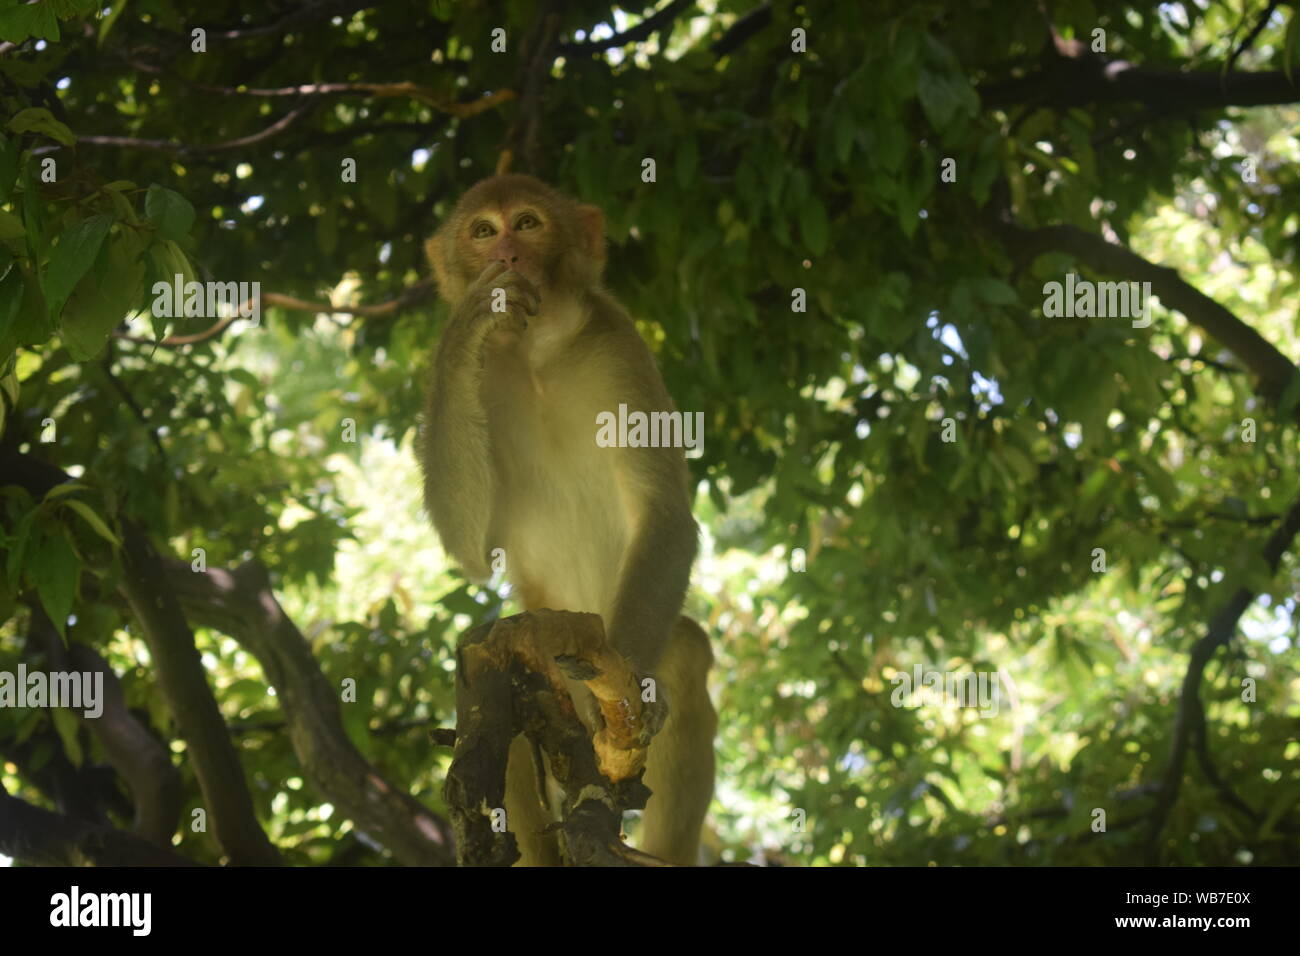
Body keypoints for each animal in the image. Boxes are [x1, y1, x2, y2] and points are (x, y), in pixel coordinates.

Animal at [419, 174, 716, 866]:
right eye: (483, 231)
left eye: (527, 223)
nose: (507, 254)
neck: (535, 352)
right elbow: (471, 548)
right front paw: (477, 311)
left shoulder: (620, 346)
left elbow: (664, 514)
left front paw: (626, 697)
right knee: (489, 687)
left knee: (686, 653)